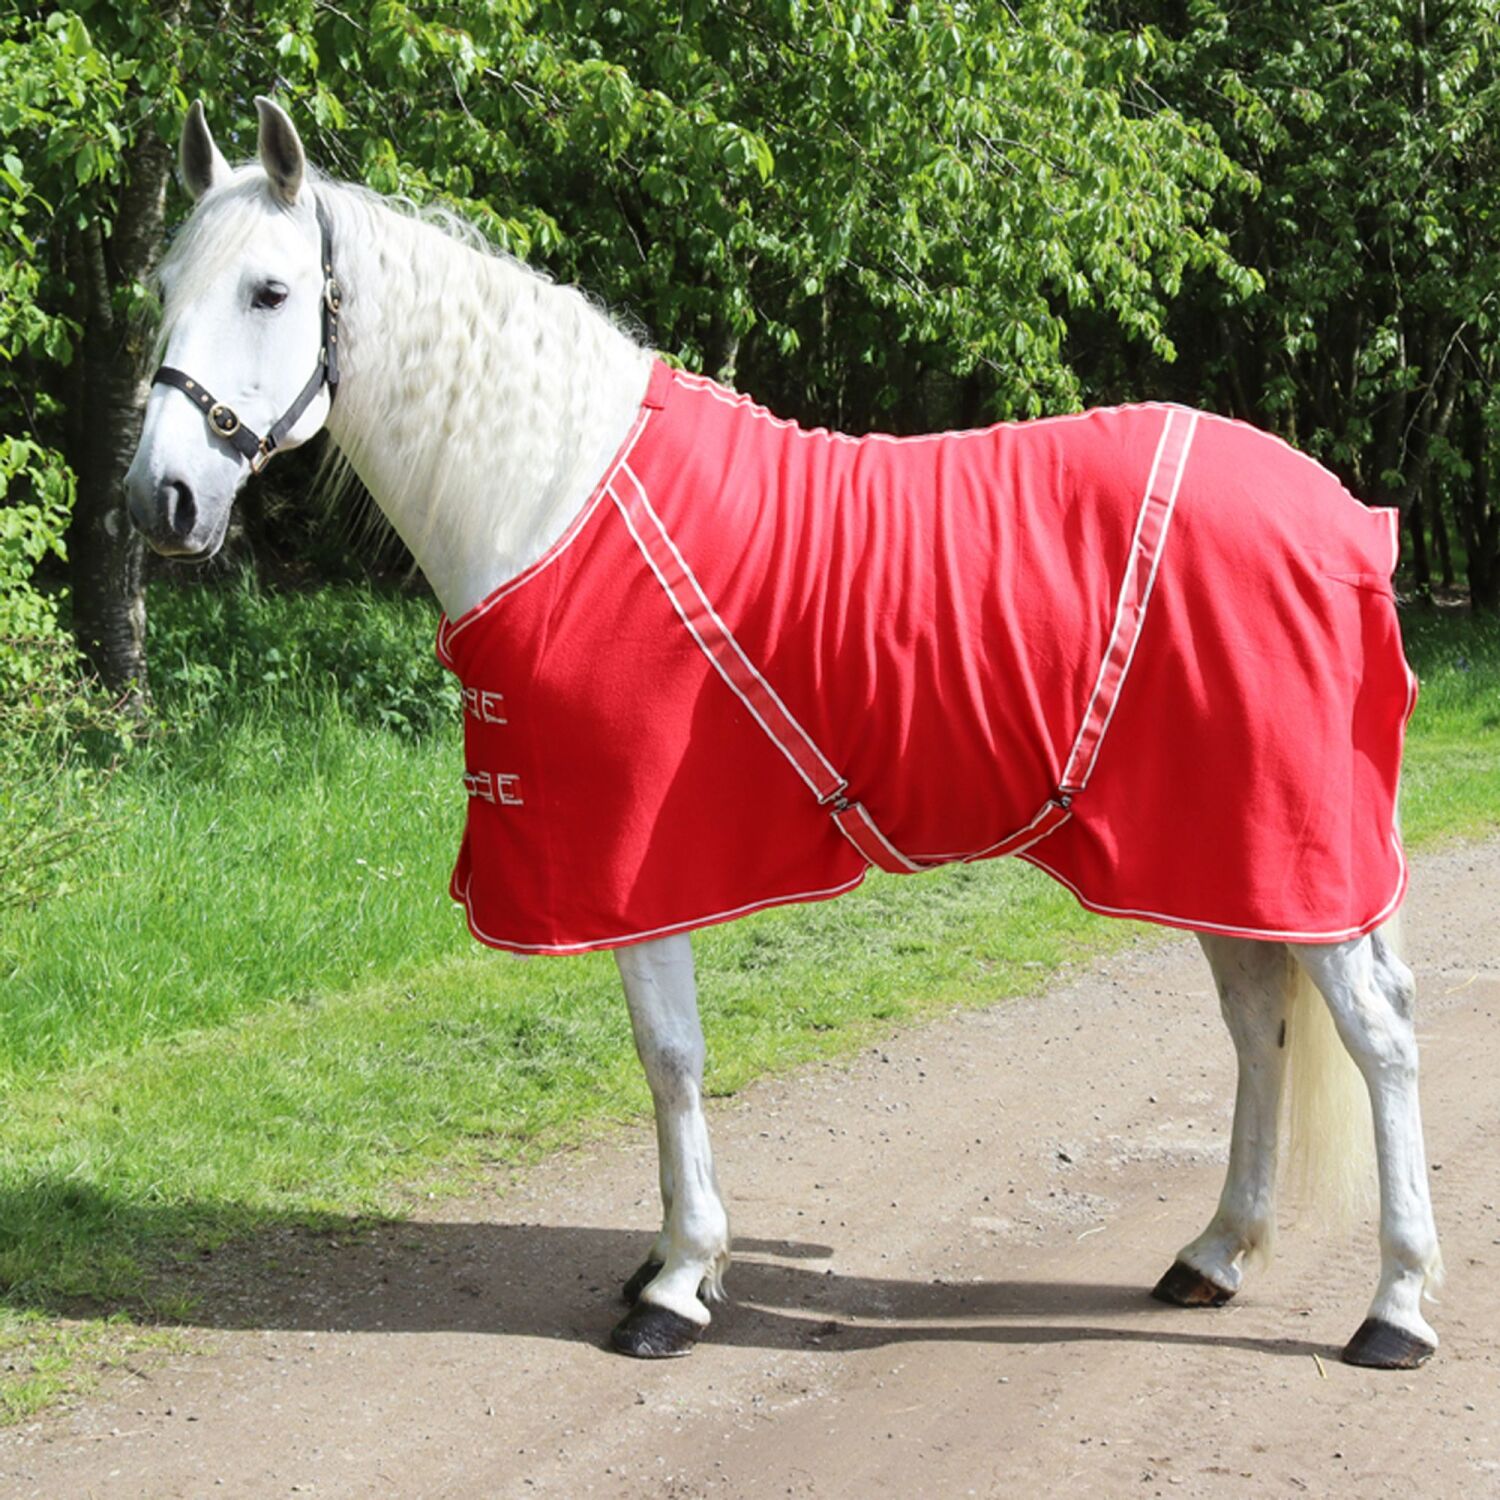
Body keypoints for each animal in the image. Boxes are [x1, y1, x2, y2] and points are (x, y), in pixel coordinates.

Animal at [123, 97, 1442, 1368]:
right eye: (164, 287)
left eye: (270, 291)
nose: (158, 502)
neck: (556, 496)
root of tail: (1347, 521)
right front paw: (682, 1264)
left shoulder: (636, 871)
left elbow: (670, 1058)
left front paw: (676, 1285)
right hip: (1226, 859)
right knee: (1261, 1024)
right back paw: (1216, 1255)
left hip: (1288, 858)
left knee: (1380, 1035)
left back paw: (1395, 1311)